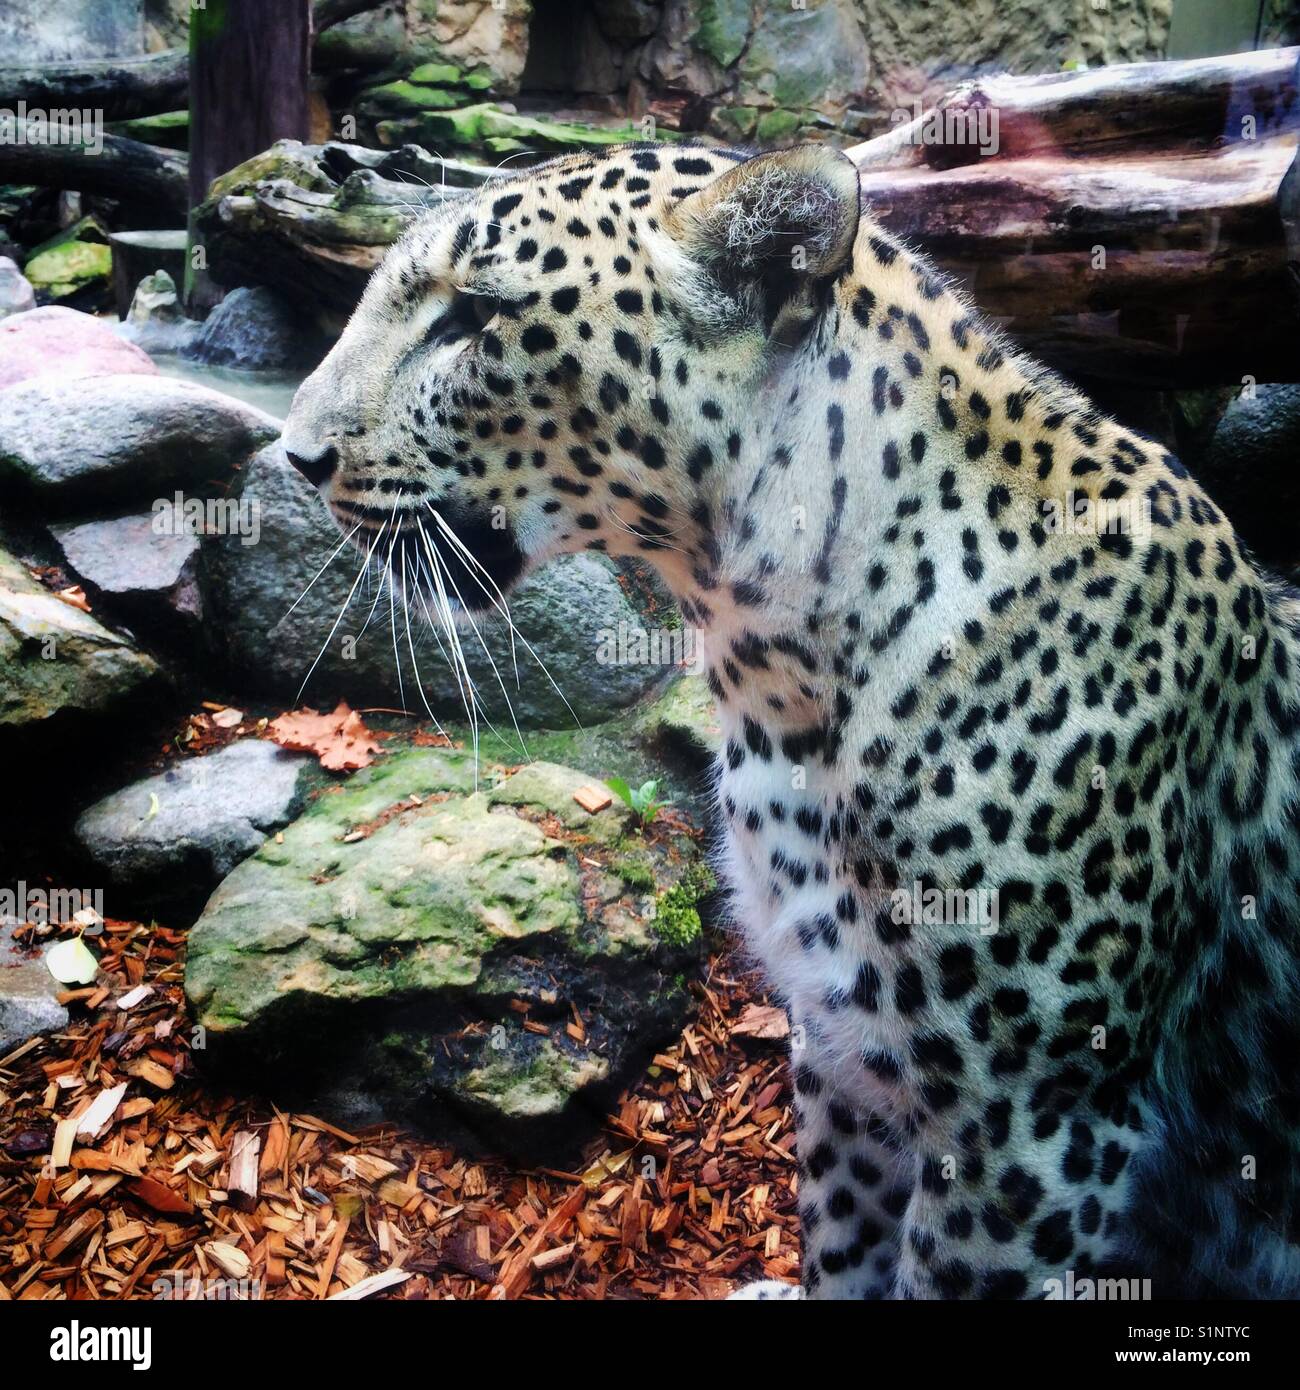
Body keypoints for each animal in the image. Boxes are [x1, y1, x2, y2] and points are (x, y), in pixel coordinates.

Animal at [281, 141, 1300, 1300]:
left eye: (473, 317)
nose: (294, 455)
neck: (776, 674)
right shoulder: (841, 1040)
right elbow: (841, 1245)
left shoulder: (1032, 1127)